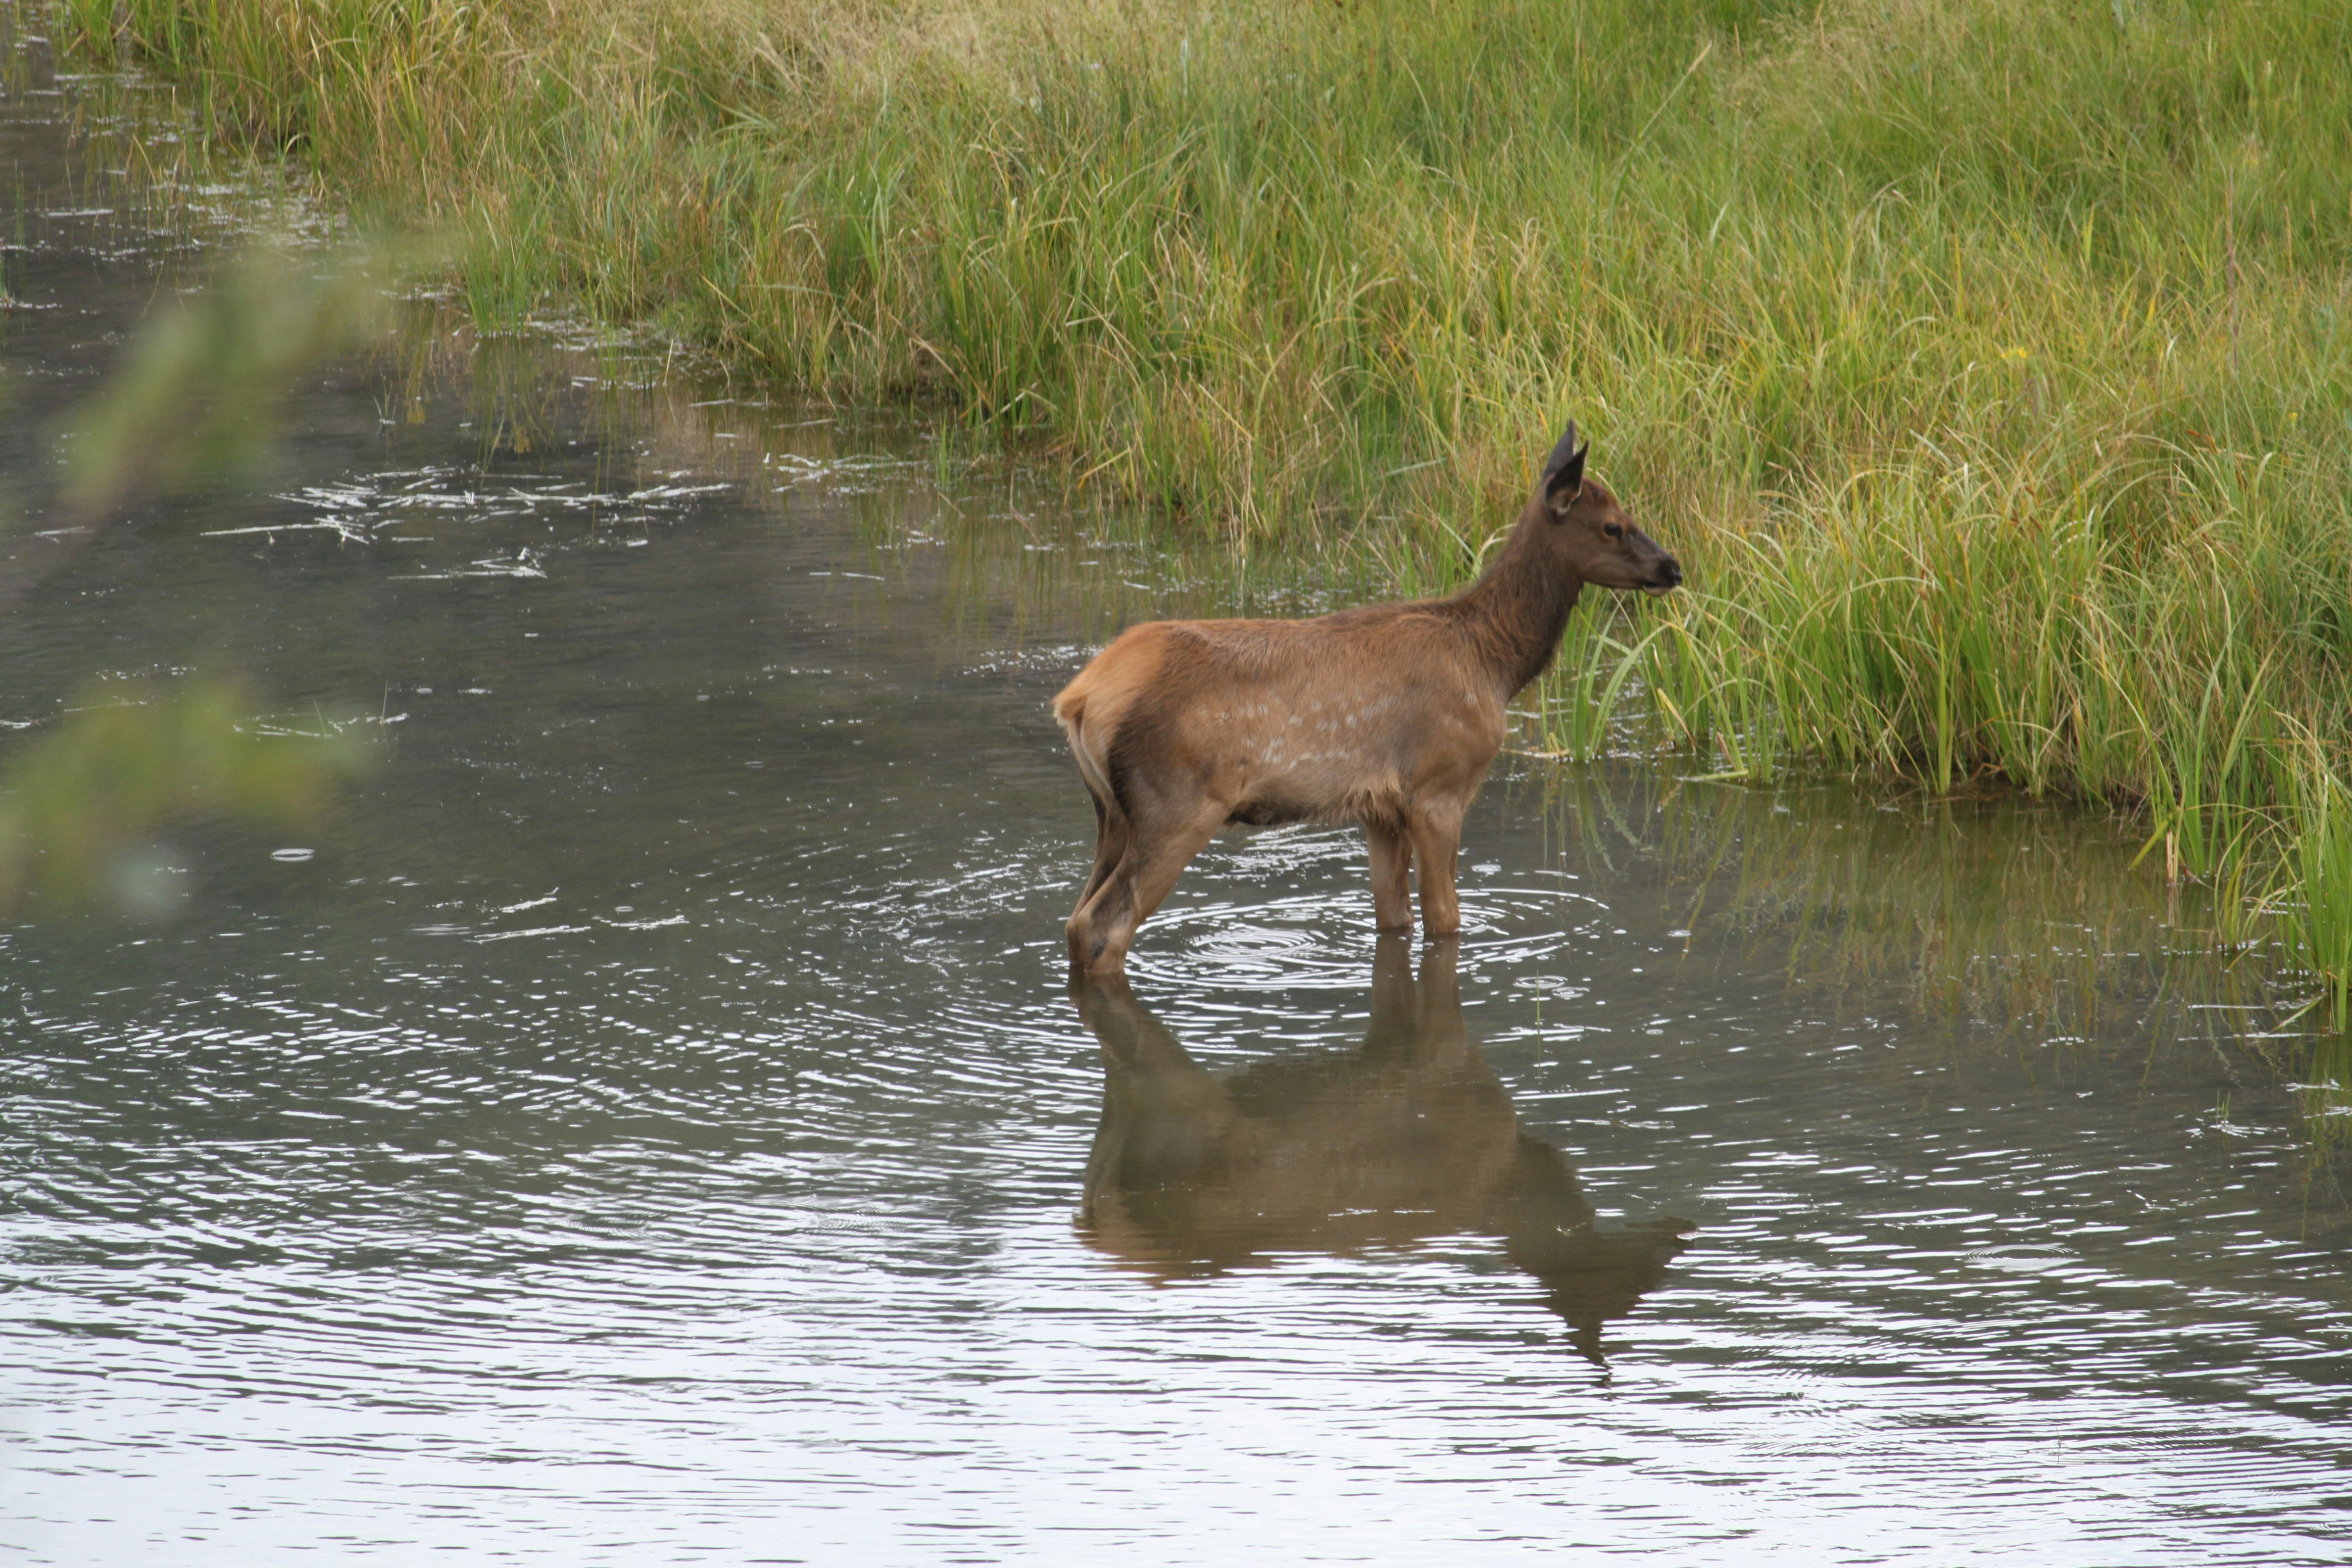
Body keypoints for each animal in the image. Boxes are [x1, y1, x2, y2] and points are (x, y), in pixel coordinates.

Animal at [1054, 420, 1681, 977]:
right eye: (1612, 526)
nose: (1672, 567)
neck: (1493, 662)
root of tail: (1079, 700)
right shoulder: (1438, 785)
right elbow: (1446, 922)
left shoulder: (1379, 807)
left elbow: (1394, 918)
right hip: (1177, 803)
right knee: (1102, 925)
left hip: (1113, 815)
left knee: (1074, 921)